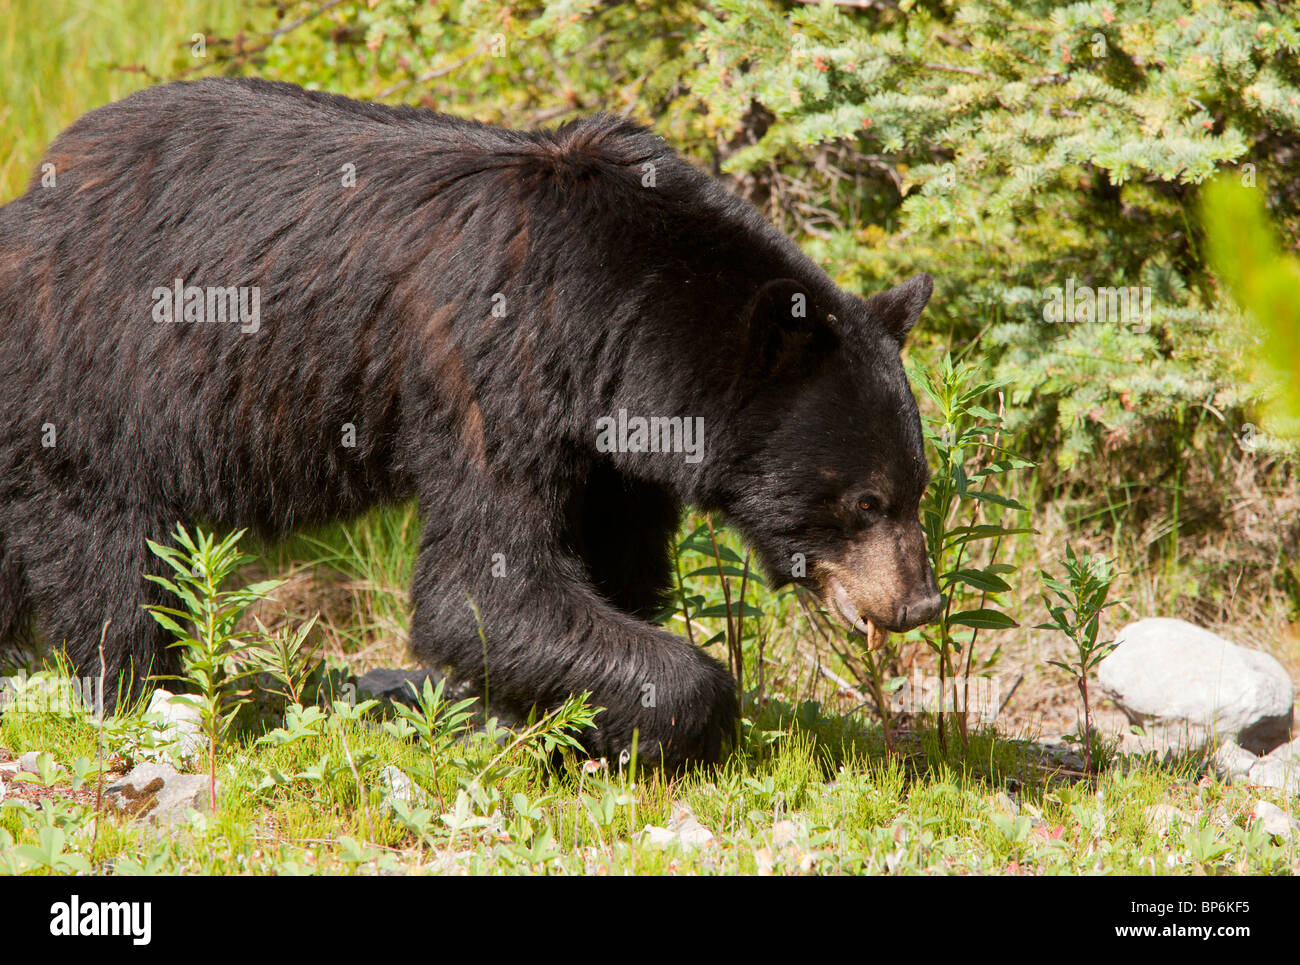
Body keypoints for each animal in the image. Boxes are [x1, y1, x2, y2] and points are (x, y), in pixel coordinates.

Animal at [0, 78, 941, 768]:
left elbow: (611, 564)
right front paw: (673, 717)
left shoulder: (610, 440)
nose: (918, 602)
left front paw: (559, 721)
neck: (611, 306)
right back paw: (140, 695)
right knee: (113, 559)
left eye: (916, 488)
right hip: (100, 385)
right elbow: (488, 582)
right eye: (865, 501)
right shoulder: (494, 361)